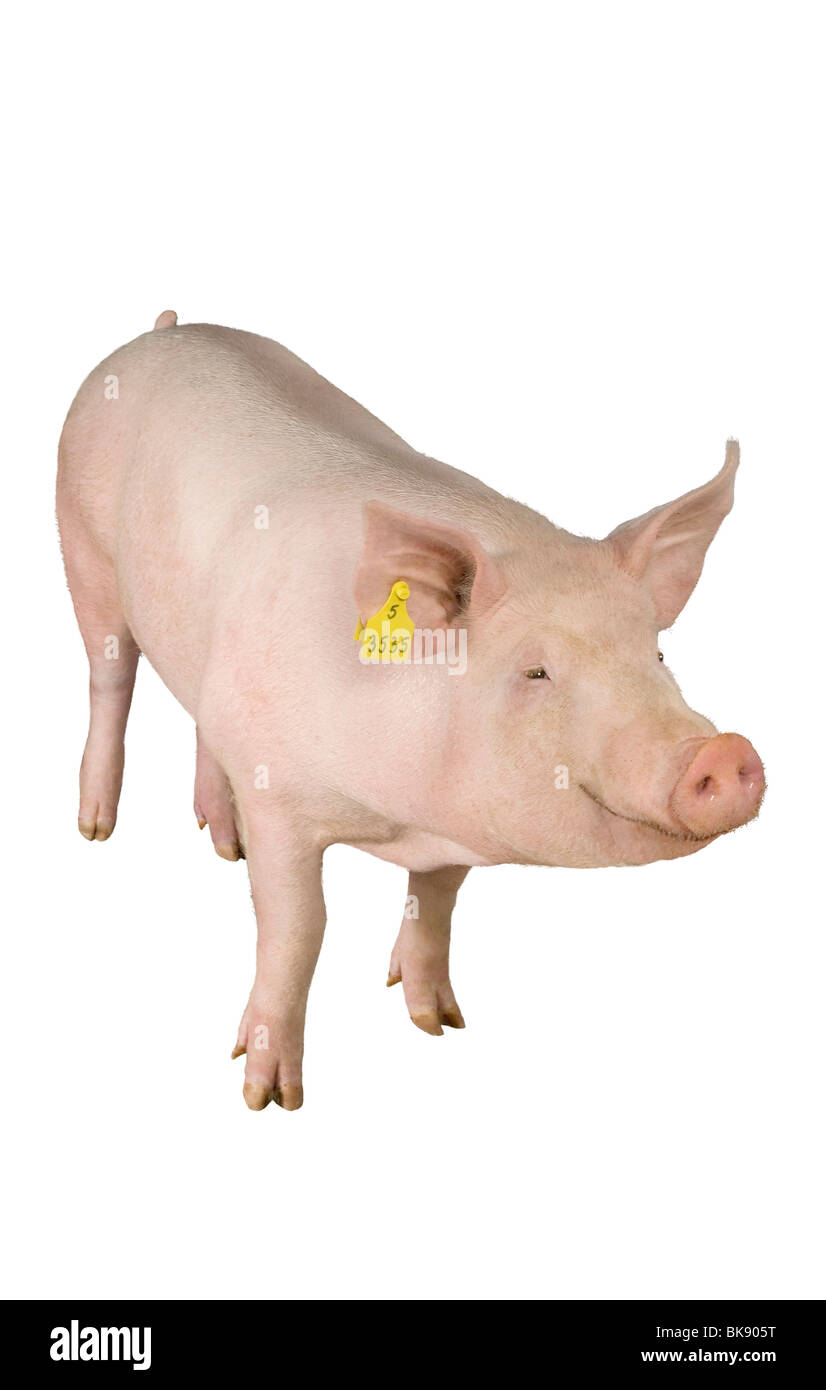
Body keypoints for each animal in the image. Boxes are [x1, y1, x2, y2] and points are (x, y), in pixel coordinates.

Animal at [57, 310, 765, 1112]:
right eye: (536, 671)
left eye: (658, 655)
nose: (724, 750)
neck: (401, 819)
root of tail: (164, 332)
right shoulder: (282, 801)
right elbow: (299, 930)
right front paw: (268, 1096)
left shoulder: (450, 825)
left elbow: (439, 900)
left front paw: (439, 1024)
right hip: (82, 545)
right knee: (110, 677)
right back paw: (95, 828)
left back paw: (221, 842)